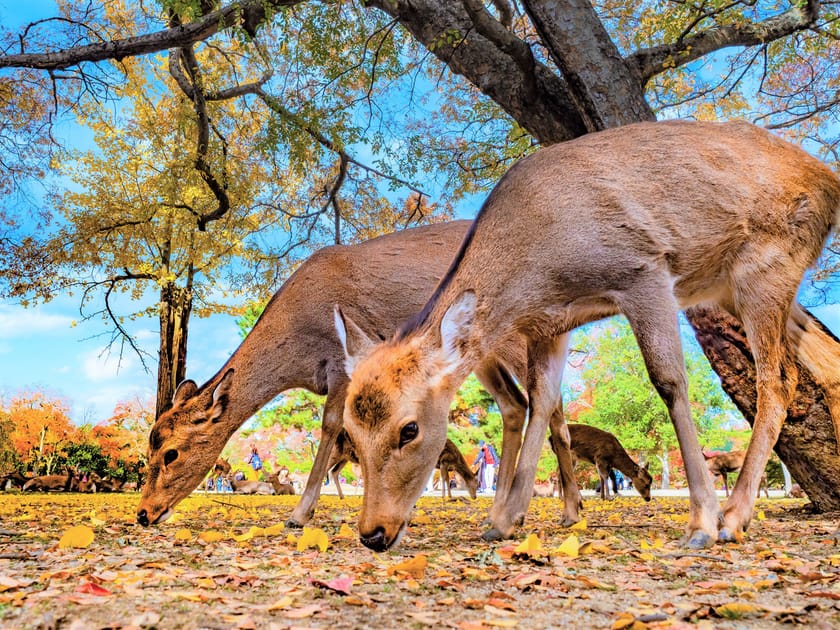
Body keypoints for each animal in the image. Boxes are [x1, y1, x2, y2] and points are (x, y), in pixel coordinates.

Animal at [136, 221, 534, 531]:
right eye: (149, 448)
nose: (143, 513)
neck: (300, 350)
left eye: (171, 453)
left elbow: (331, 424)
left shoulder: (342, 362)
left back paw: (521, 517)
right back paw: (500, 514)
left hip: (516, 333)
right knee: (515, 403)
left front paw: (300, 514)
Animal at [336, 119, 840, 552]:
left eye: (409, 429)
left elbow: (669, 381)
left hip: (766, 265)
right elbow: (542, 404)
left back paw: (733, 518)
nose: (373, 533)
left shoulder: (644, 271)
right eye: (349, 431)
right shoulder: (549, 326)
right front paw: (505, 521)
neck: (541, 273)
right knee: (824, 358)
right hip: (743, 288)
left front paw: (700, 523)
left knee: (778, 380)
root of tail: (828, 180)